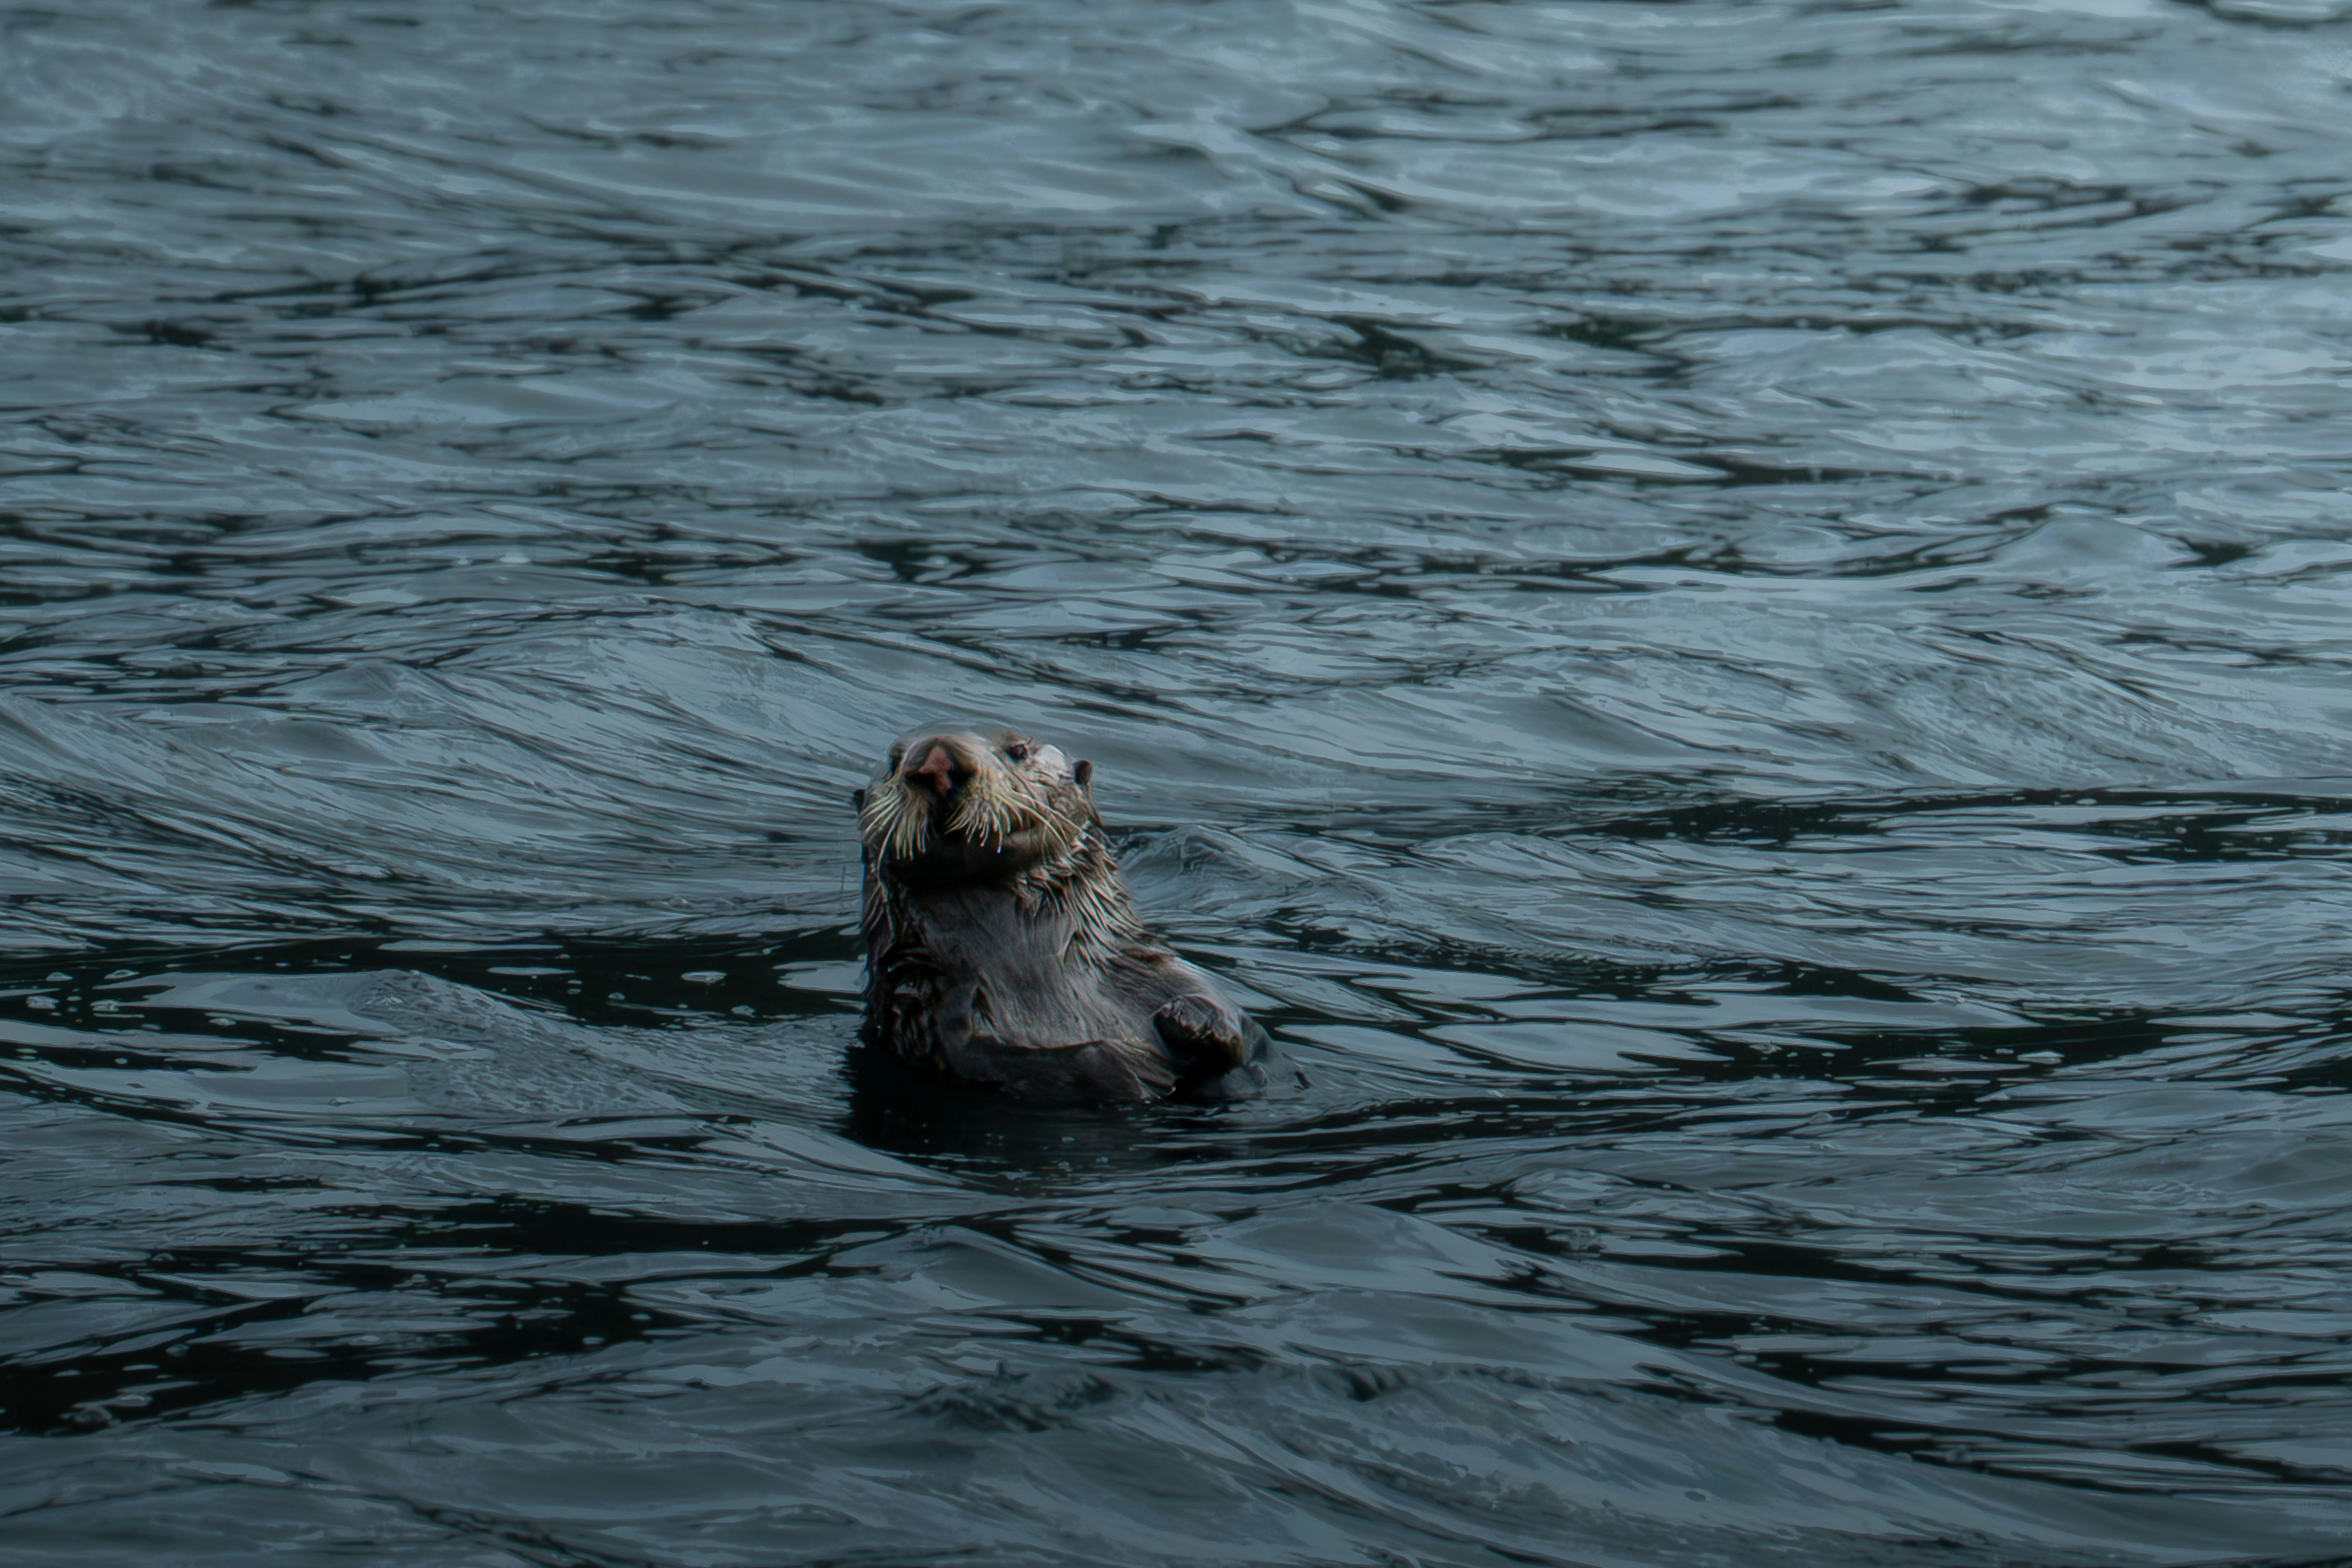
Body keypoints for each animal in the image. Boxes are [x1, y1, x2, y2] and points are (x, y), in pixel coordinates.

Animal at [854, 724, 1264, 1101]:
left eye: (1019, 750)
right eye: (894, 761)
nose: (937, 761)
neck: (1034, 975)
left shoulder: (1159, 972)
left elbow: (1247, 1034)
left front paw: (1192, 1019)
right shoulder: (920, 1016)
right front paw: (1118, 1065)